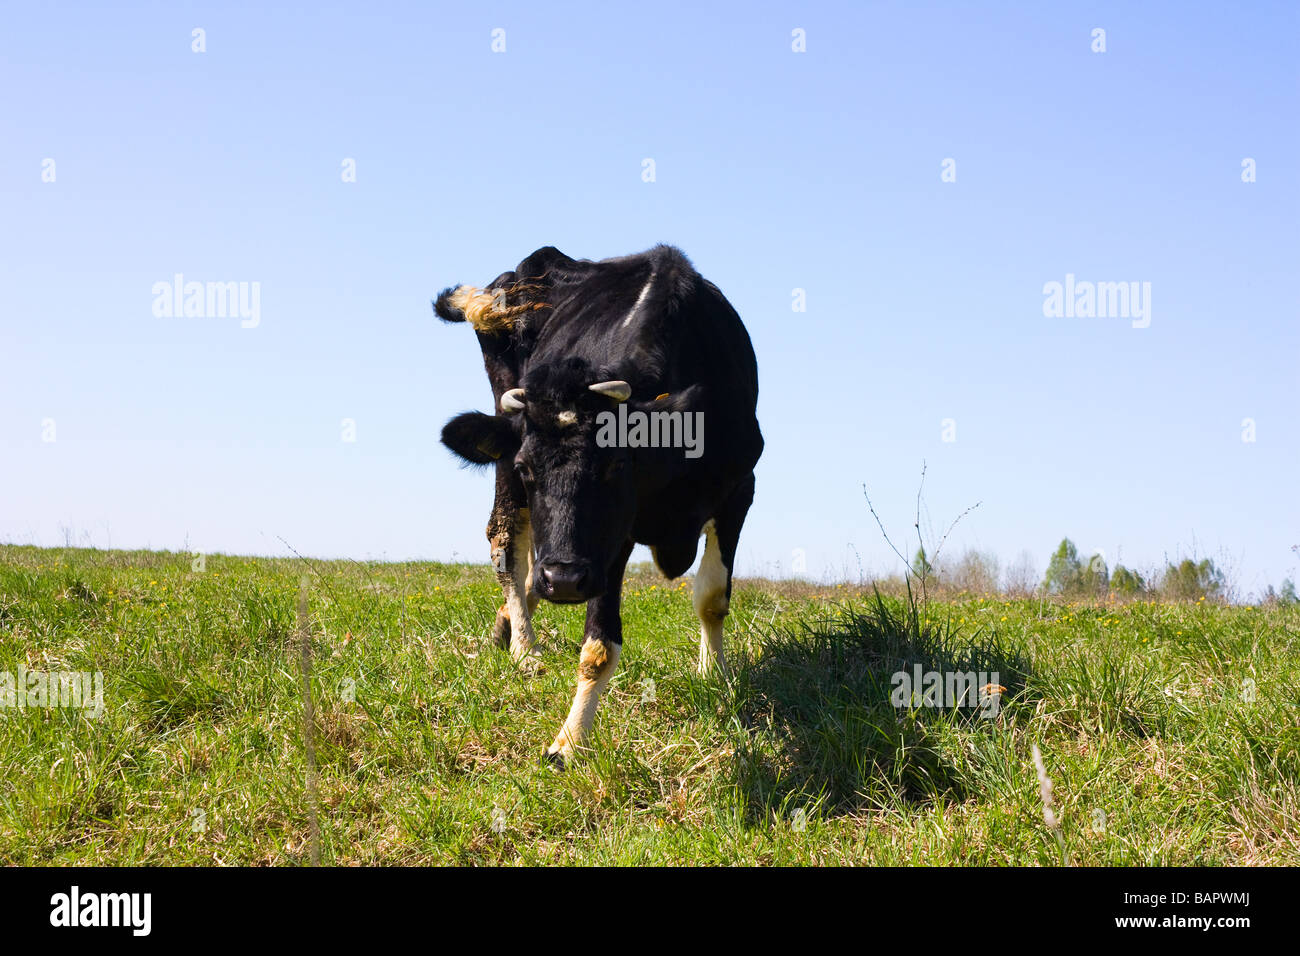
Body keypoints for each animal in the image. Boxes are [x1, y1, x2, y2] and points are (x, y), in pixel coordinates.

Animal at [435, 244, 762, 766]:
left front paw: (716, 676)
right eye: (527, 468)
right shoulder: (609, 543)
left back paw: (507, 624)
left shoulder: (740, 488)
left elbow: (712, 598)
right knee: (506, 540)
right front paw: (570, 741)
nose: (564, 579)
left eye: (616, 464)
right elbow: (598, 648)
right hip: (503, 420)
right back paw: (524, 649)